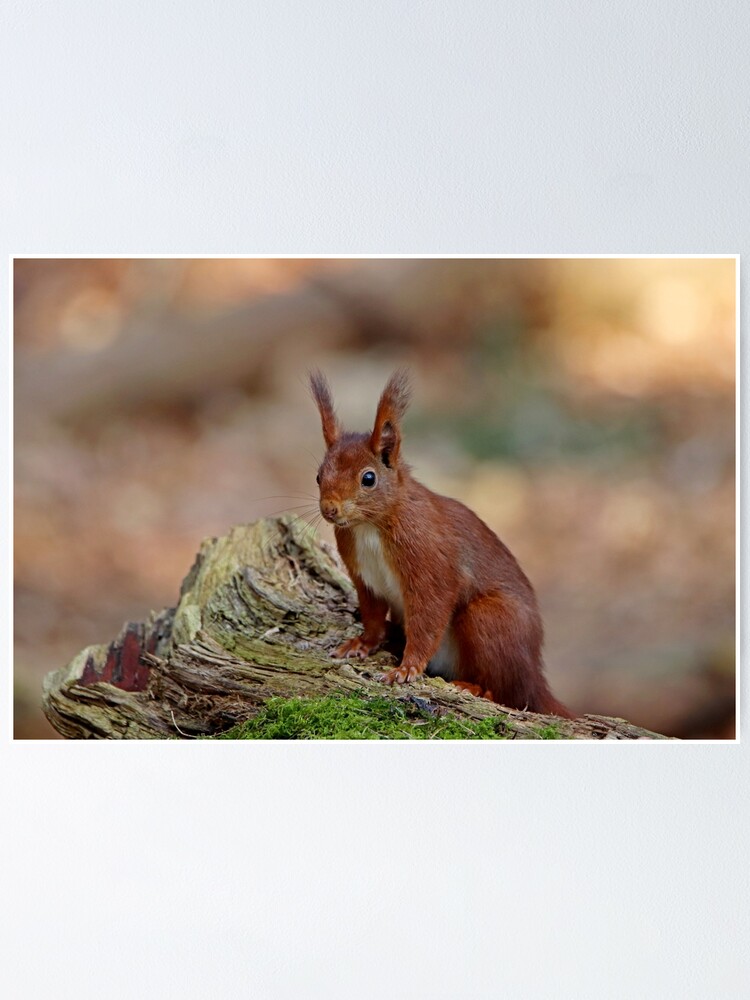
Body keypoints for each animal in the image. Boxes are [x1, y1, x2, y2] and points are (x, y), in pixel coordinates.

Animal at [310, 368, 572, 718]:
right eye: (318, 476)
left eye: (368, 478)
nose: (330, 509)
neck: (370, 527)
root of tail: (534, 678)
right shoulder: (365, 577)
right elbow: (373, 613)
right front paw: (363, 643)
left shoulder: (429, 560)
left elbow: (429, 616)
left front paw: (407, 668)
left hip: (491, 620)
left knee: (505, 691)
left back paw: (474, 687)